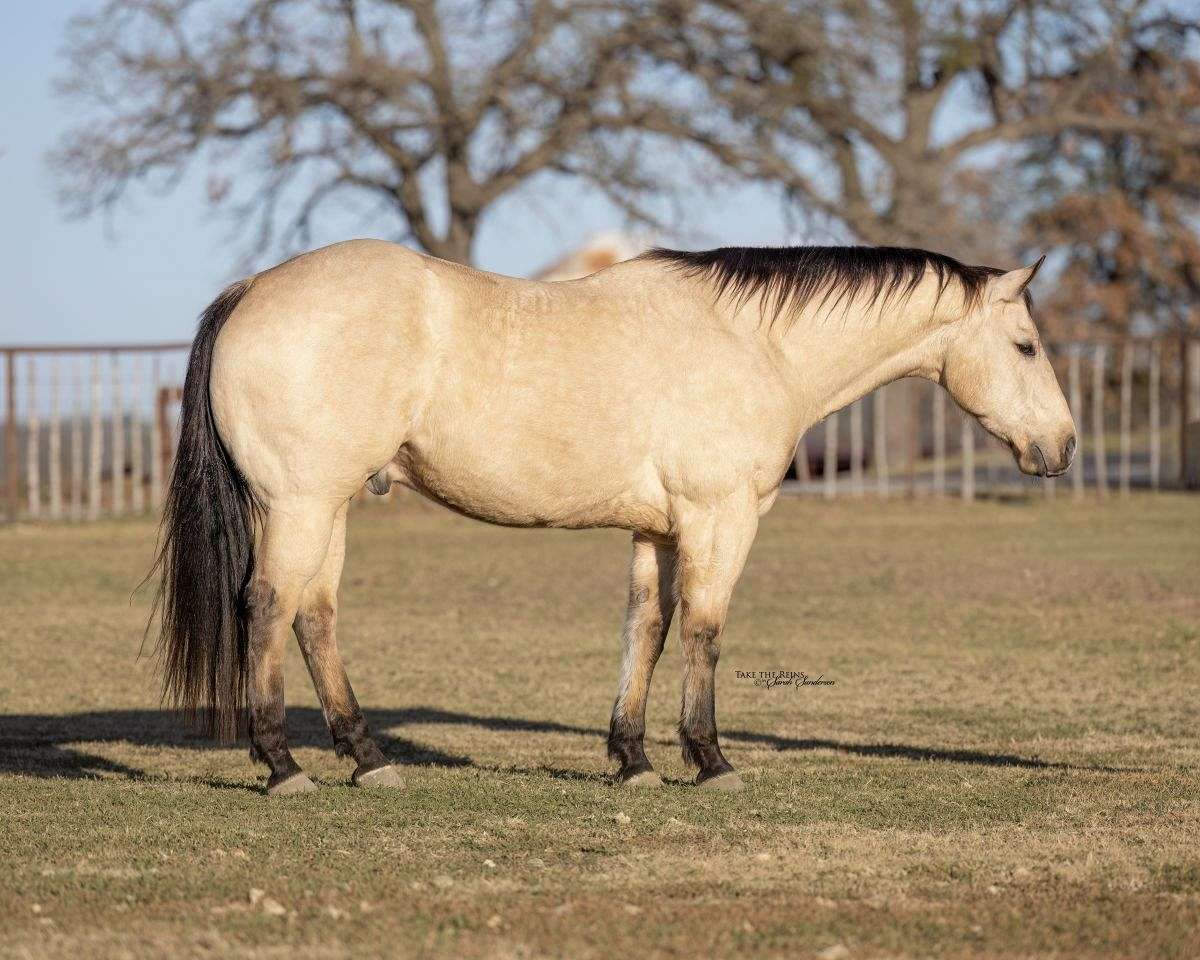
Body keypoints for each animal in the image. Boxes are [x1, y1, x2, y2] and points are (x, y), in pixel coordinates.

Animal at [150, 240, 1076, 796]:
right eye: (1027, 346)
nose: (1062, 445)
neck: (752, 343)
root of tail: (250, 290)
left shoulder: (658, 531)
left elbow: (648, 630)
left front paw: (632, 760)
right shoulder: (718, 519)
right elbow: (704, 630)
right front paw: (710, 760)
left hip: (333, 505)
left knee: (315, 617)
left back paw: (368, 759)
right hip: (300, 504)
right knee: (268, 607)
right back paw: (282, 765)